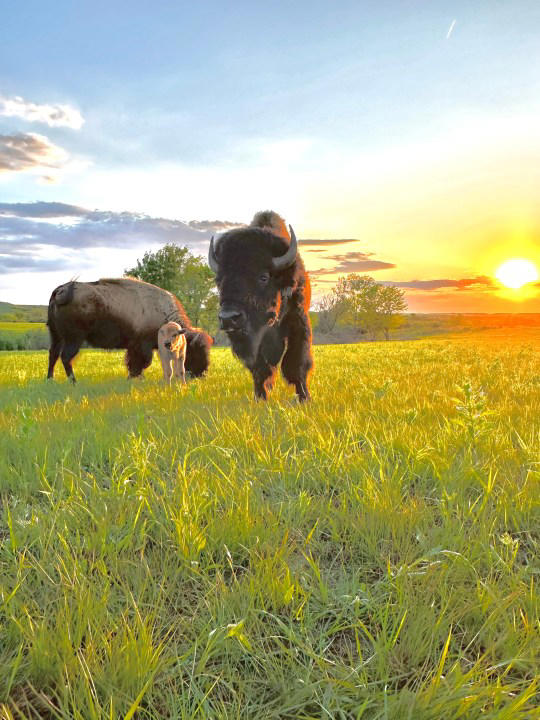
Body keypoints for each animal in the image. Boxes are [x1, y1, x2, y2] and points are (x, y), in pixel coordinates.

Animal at [47, 277, 212, 382]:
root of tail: (61, 290)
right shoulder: (142, 346)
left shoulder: (135, 347)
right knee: (65, 357)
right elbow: (141, 362)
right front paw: (134, 377)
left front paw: (135, 377)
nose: (202, 374)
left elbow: (135, 362)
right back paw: (74, 382)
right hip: (74, 338)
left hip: (56, 336)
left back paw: (50, 379)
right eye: (195, 350)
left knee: (53, 354)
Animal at [208, 211, 313, 401]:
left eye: (263, 277)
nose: (229, 318)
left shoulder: (298, 322)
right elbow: (260, 368)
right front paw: (260, 397)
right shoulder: (255, 340)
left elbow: (295, 363)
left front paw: (304, 398)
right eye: (219, 281)